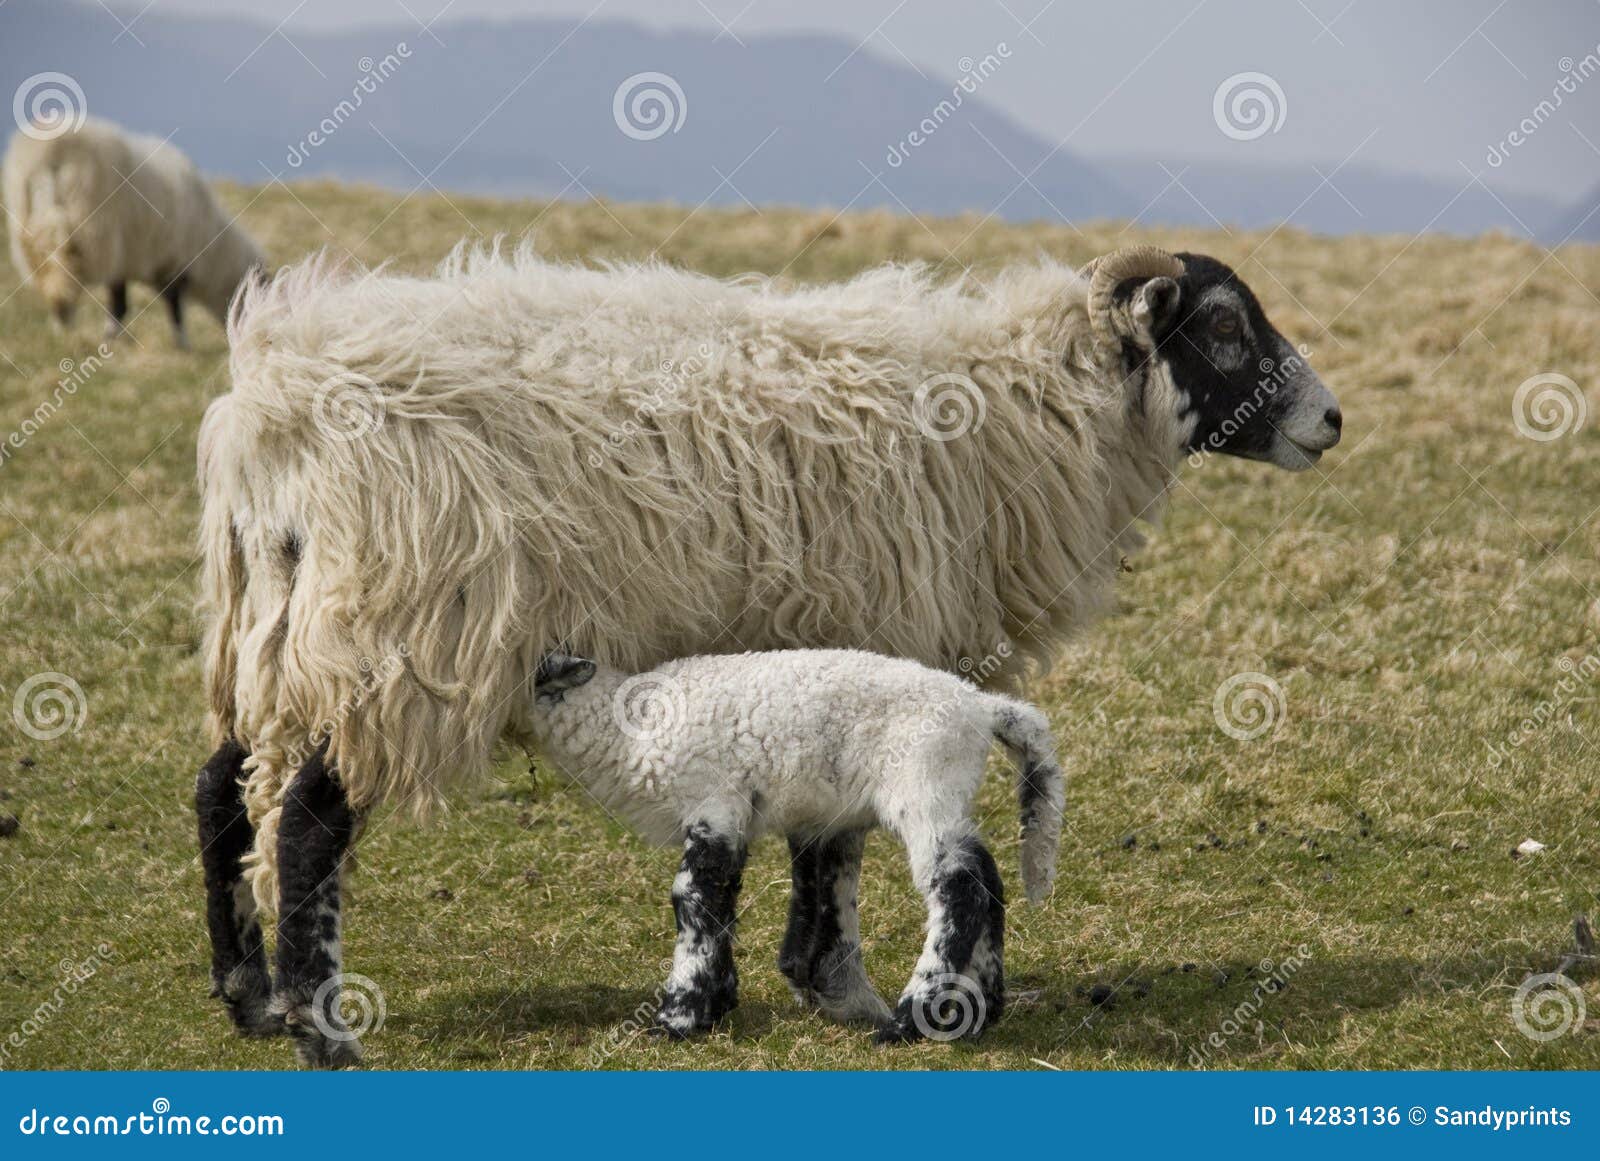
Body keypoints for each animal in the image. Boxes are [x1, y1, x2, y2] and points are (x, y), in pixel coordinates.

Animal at [3, 116, 265, 347]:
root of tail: (48, 149)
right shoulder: (170, 259)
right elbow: (165, 304)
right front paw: (180, 344)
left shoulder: (128, 261)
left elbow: (123, 303)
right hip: (89, 227)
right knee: (63, 279)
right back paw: (64, 326)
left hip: (30, 225)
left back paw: (61, 330)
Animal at [527, 646, 1064, 1042]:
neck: (623, 731)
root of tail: (982, 706)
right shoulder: (733, 820)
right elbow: (720, 900)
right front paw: (715, 1002)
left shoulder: (715, 801)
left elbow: (693, 899)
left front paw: (677, 1017)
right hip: (944, 792)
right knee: (985, 877)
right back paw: (981, 1006)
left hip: (924, 783)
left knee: (958, 886)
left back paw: (908, 1020)